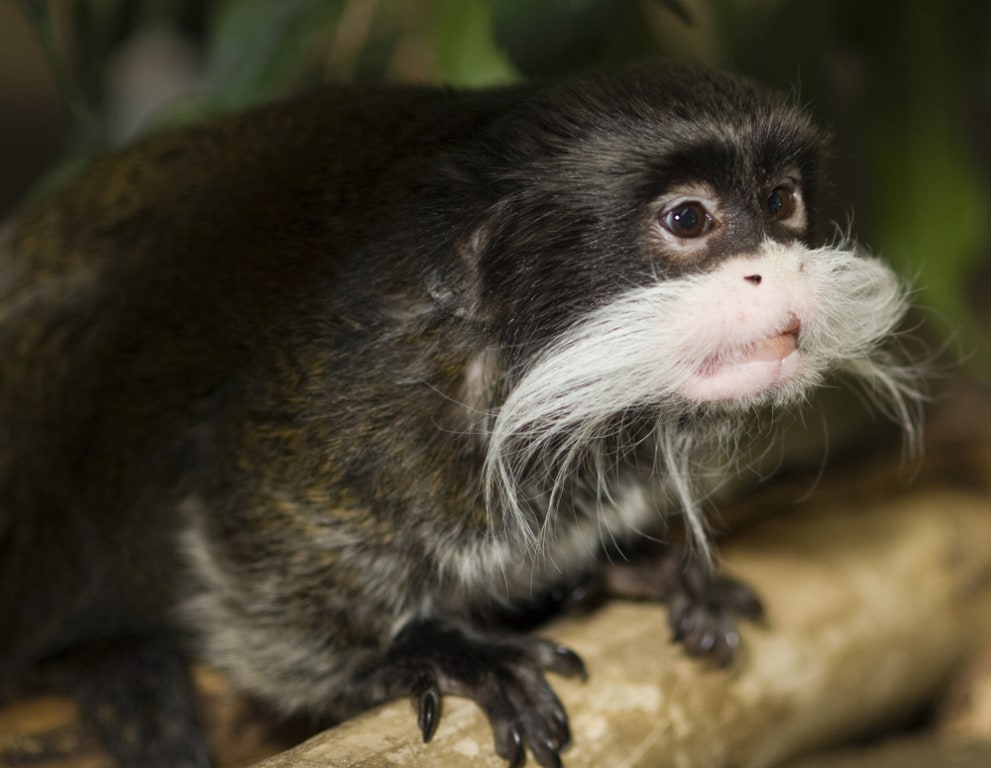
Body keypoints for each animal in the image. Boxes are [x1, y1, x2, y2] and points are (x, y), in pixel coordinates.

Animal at [0, 62, 922, 767]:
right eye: (689, 218)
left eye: (780, 201)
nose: (781, 270)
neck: (519, 373)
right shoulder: (330, 410)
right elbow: (253, 562)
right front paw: (425, 651)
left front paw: (638, 568)